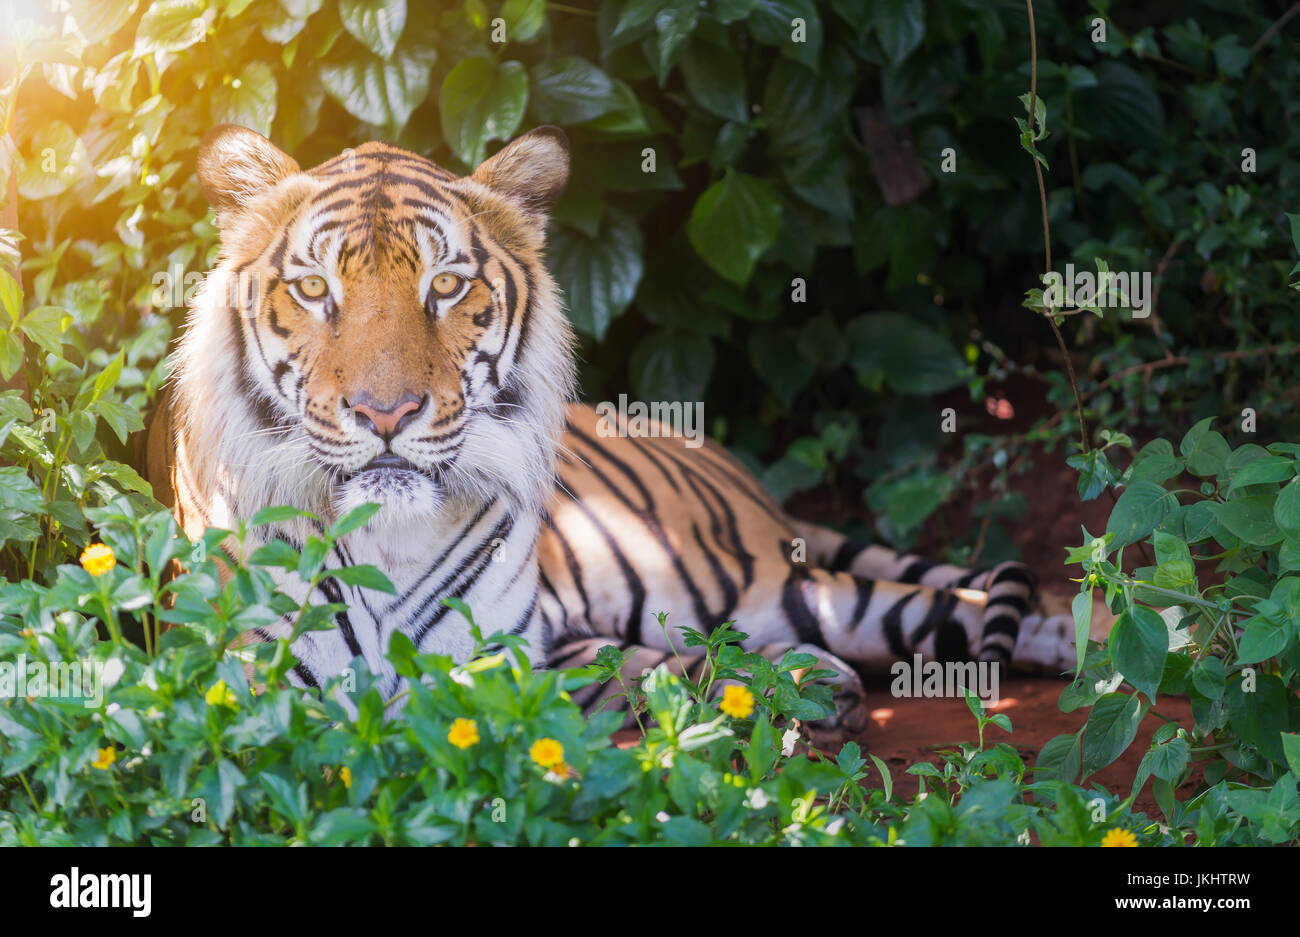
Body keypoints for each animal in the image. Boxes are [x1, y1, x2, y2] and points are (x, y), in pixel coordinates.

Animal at [145, 123, 1076, 733]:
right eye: (314, 289)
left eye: (445, 286)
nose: (386, 412)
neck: (389, 538)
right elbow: (651, 669)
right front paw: (791, 686)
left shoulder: (503, 660)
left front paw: (799, 688)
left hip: (745, 579)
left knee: (983, 601)